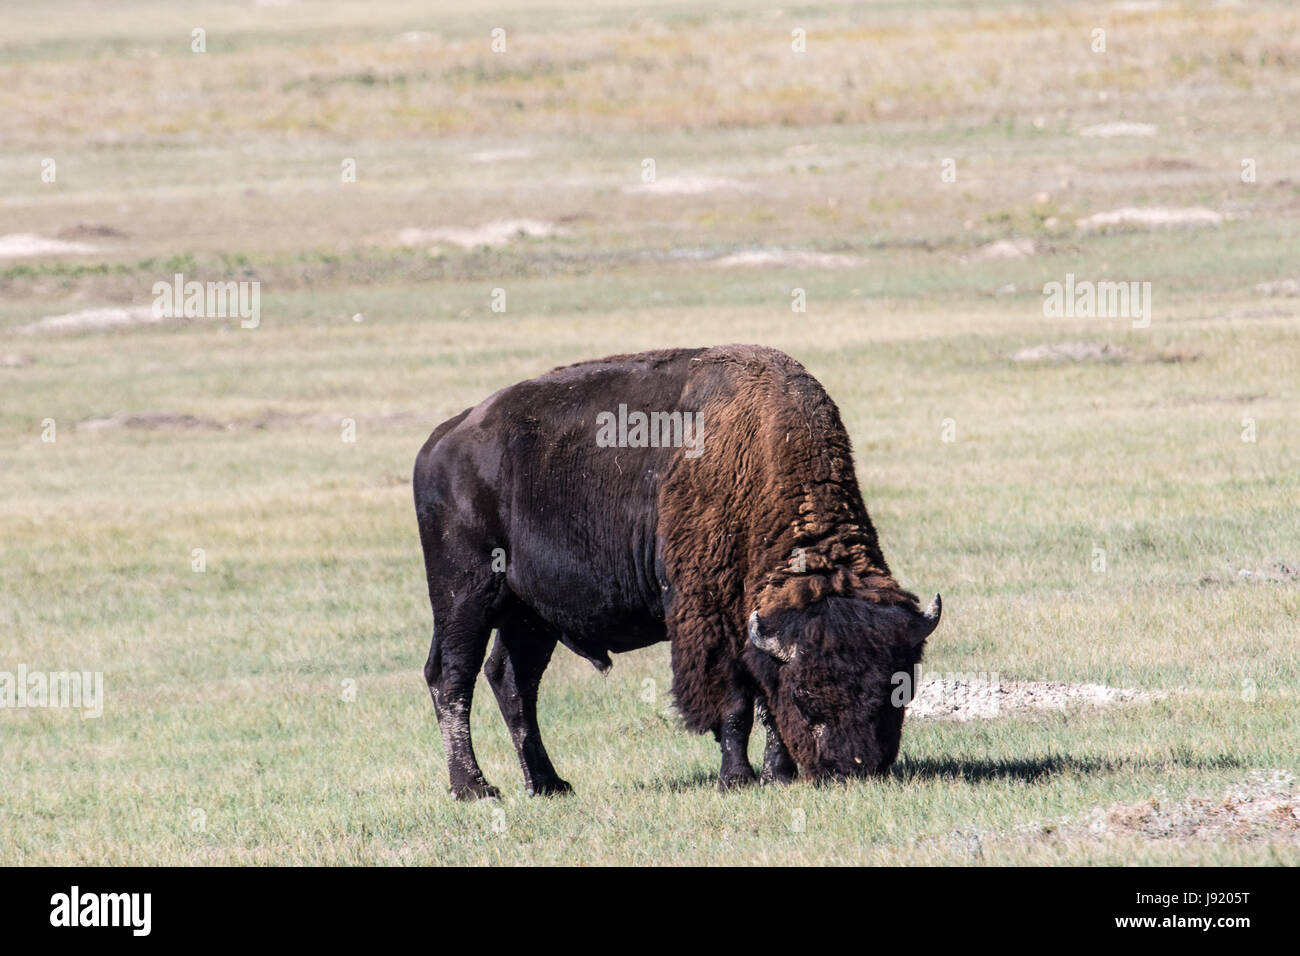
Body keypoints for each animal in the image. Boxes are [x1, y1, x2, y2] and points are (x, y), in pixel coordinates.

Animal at [414, 345, 941, 798]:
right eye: (807, 696)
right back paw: (474, 789)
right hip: (465, 594)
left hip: (529, 614)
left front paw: (777, 775)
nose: (853, 769)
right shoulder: (710, 619)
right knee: (451, 677)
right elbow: (734, 703)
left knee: (512, 680)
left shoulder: (754, 627)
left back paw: (548, 784)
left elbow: (763, 699)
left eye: (898, 691)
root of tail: (440, 443)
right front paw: (737, 779)